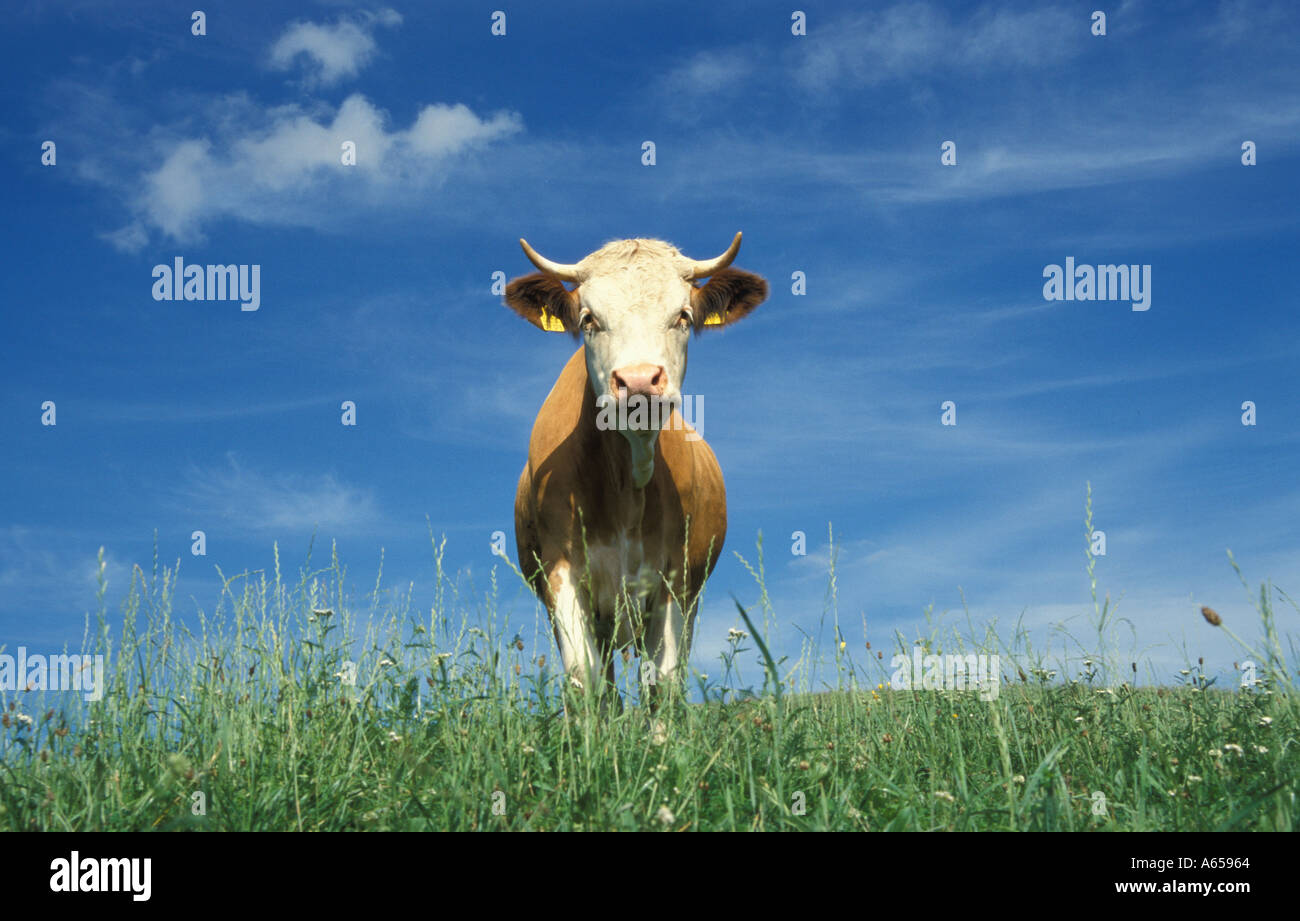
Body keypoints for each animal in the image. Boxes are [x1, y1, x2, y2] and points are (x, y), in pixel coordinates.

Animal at [503, 233, 768, 715]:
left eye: (683, 316)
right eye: (589, 318)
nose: (640, 381)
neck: (627, 481)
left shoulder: (674, 580)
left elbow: (662, 684)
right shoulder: (562, 573)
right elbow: (585, 680)